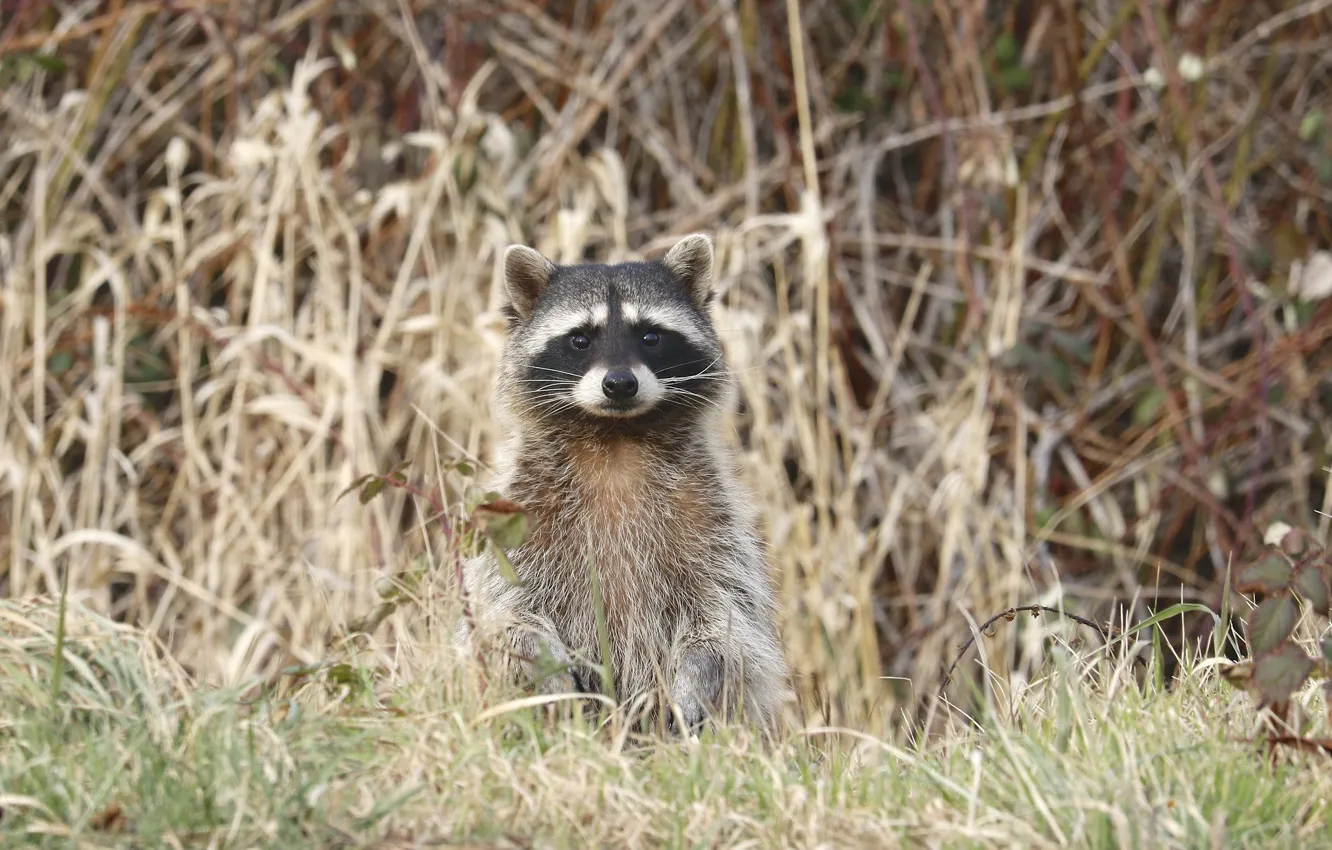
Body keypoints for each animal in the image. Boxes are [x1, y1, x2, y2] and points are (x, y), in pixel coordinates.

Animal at [455, 233, 790, 734]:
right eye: (579, 339)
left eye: (650, 336)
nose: (619, 383)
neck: (617, 438)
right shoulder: (522, 508)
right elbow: (505, 610)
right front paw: (542, 660)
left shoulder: (711, 516)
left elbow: (727, 616)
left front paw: (697, 673)